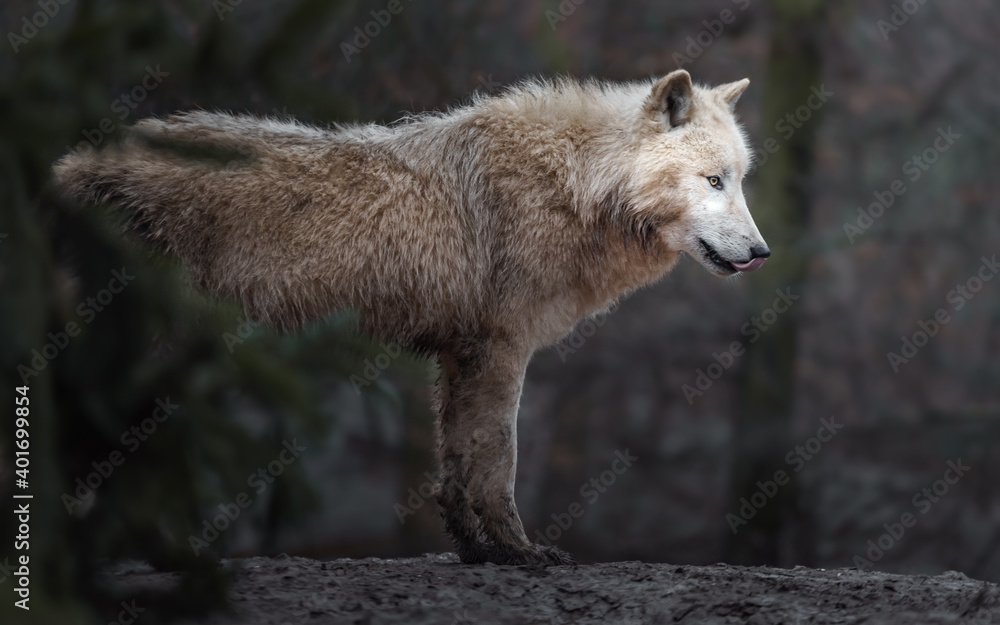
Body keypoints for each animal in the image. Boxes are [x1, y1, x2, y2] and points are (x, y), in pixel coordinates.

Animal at [53, 69, 768, 566]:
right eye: (713, 181)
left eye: (739, 179)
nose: (762, 253)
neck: (575, 184)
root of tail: (69, 165)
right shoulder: (500, 348)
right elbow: (497, 460)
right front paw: (519, 552)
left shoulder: (462, 353)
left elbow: (456, 467)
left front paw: (480, 553)